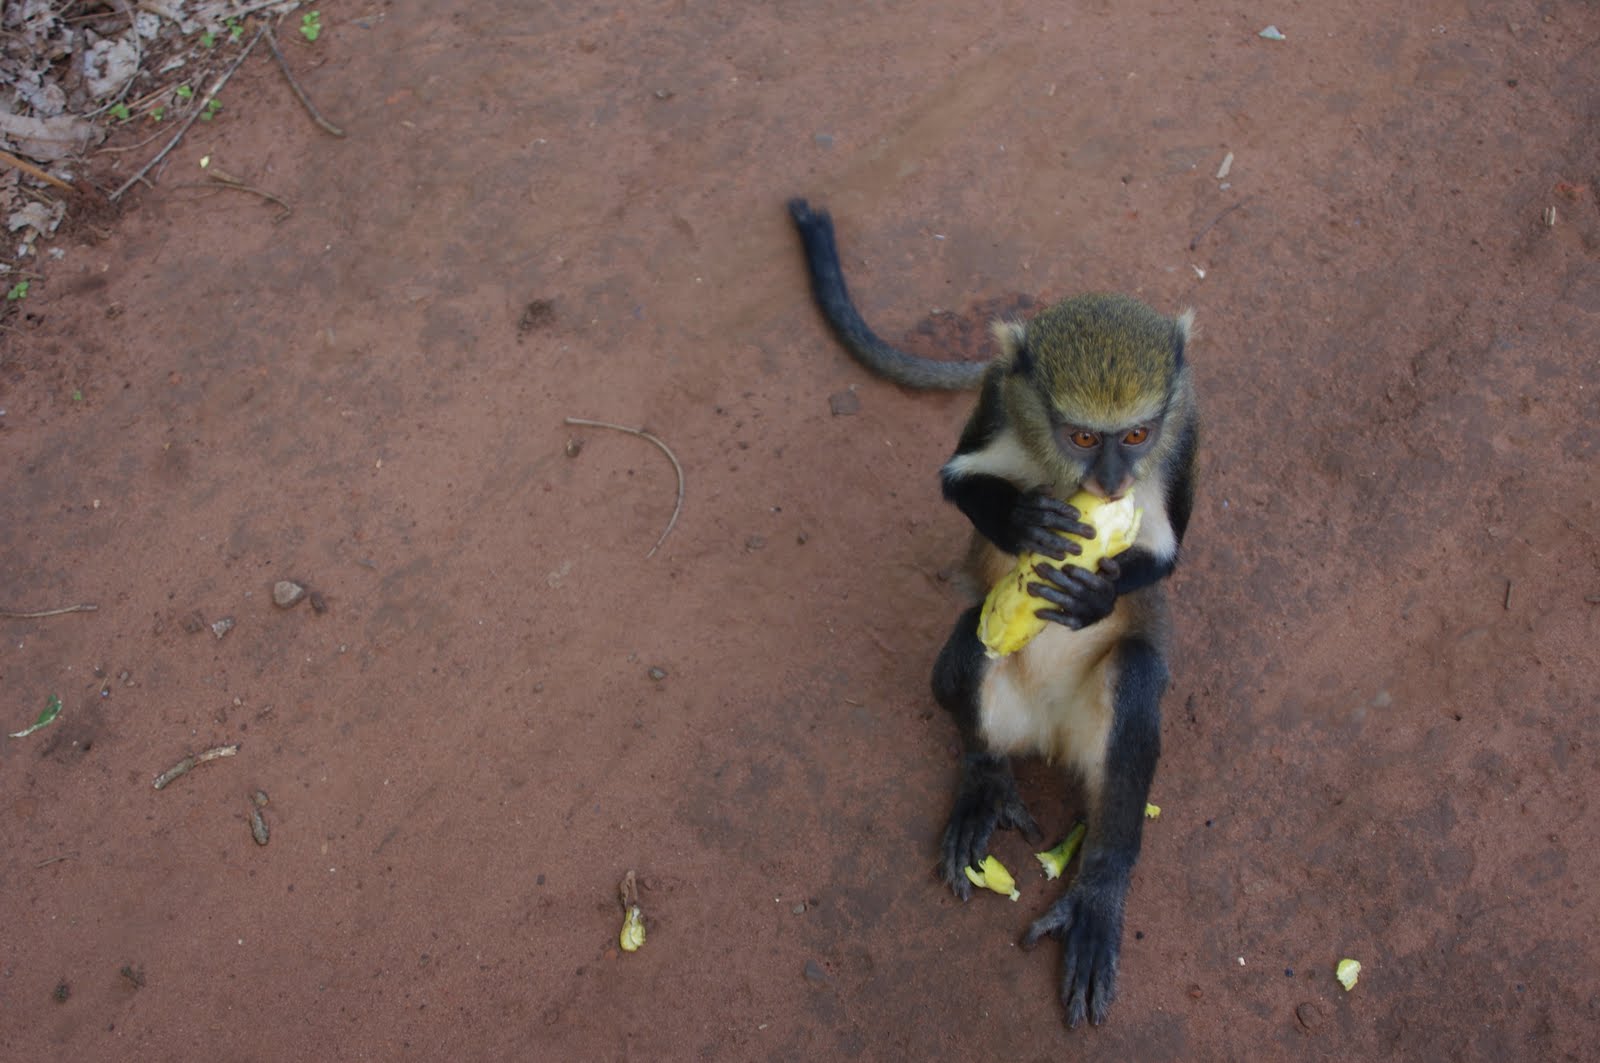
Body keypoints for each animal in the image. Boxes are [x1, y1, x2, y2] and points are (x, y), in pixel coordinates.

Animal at [788, 198, 1198, 1029]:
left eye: (1138, 434)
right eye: (1083, 435)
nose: (1113, 481)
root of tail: (1045, 730)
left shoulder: (1187, 438)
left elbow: (1170, 553)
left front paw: (1097, 593)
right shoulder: (997, 402)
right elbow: (956, 481)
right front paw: (1023, 524)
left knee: (1139, 677)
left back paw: (1100, 889)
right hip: (987, 682)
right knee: (971, 646)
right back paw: (983, 777)